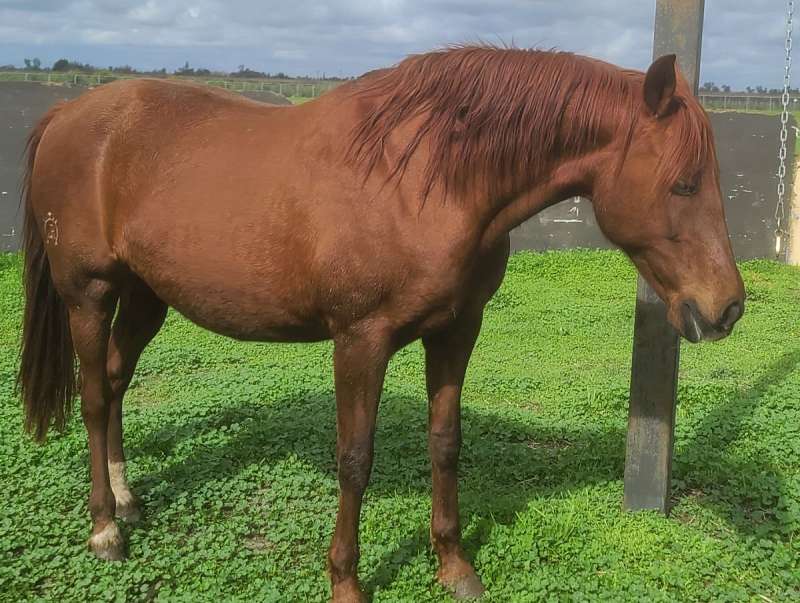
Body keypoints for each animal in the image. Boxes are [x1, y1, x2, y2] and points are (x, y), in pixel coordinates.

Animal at [18, 46, 744, 602]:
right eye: (683, 183)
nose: (727, 307)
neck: (426, 179)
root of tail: (67, 114)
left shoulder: (456, 330)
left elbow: (445, 442)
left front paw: (454, 565)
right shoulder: (360, 341)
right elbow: (355, 459)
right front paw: (345, 579)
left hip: (146, 296)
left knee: (115, 382)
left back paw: (127, 498)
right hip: (89, 294)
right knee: (92, 396)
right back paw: (106, 529)